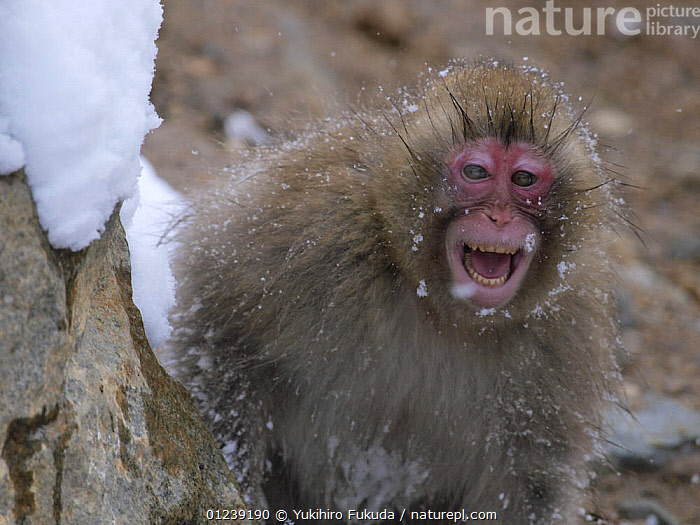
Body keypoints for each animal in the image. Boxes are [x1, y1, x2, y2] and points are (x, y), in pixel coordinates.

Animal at [164, 59, 624, 524]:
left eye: (524, 179)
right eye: (476, 173)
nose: (498, 218)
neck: (437, 305)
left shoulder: (565, 330)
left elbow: (530, 483)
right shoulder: (314, 225)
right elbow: (221, 328)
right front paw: (240, 475)